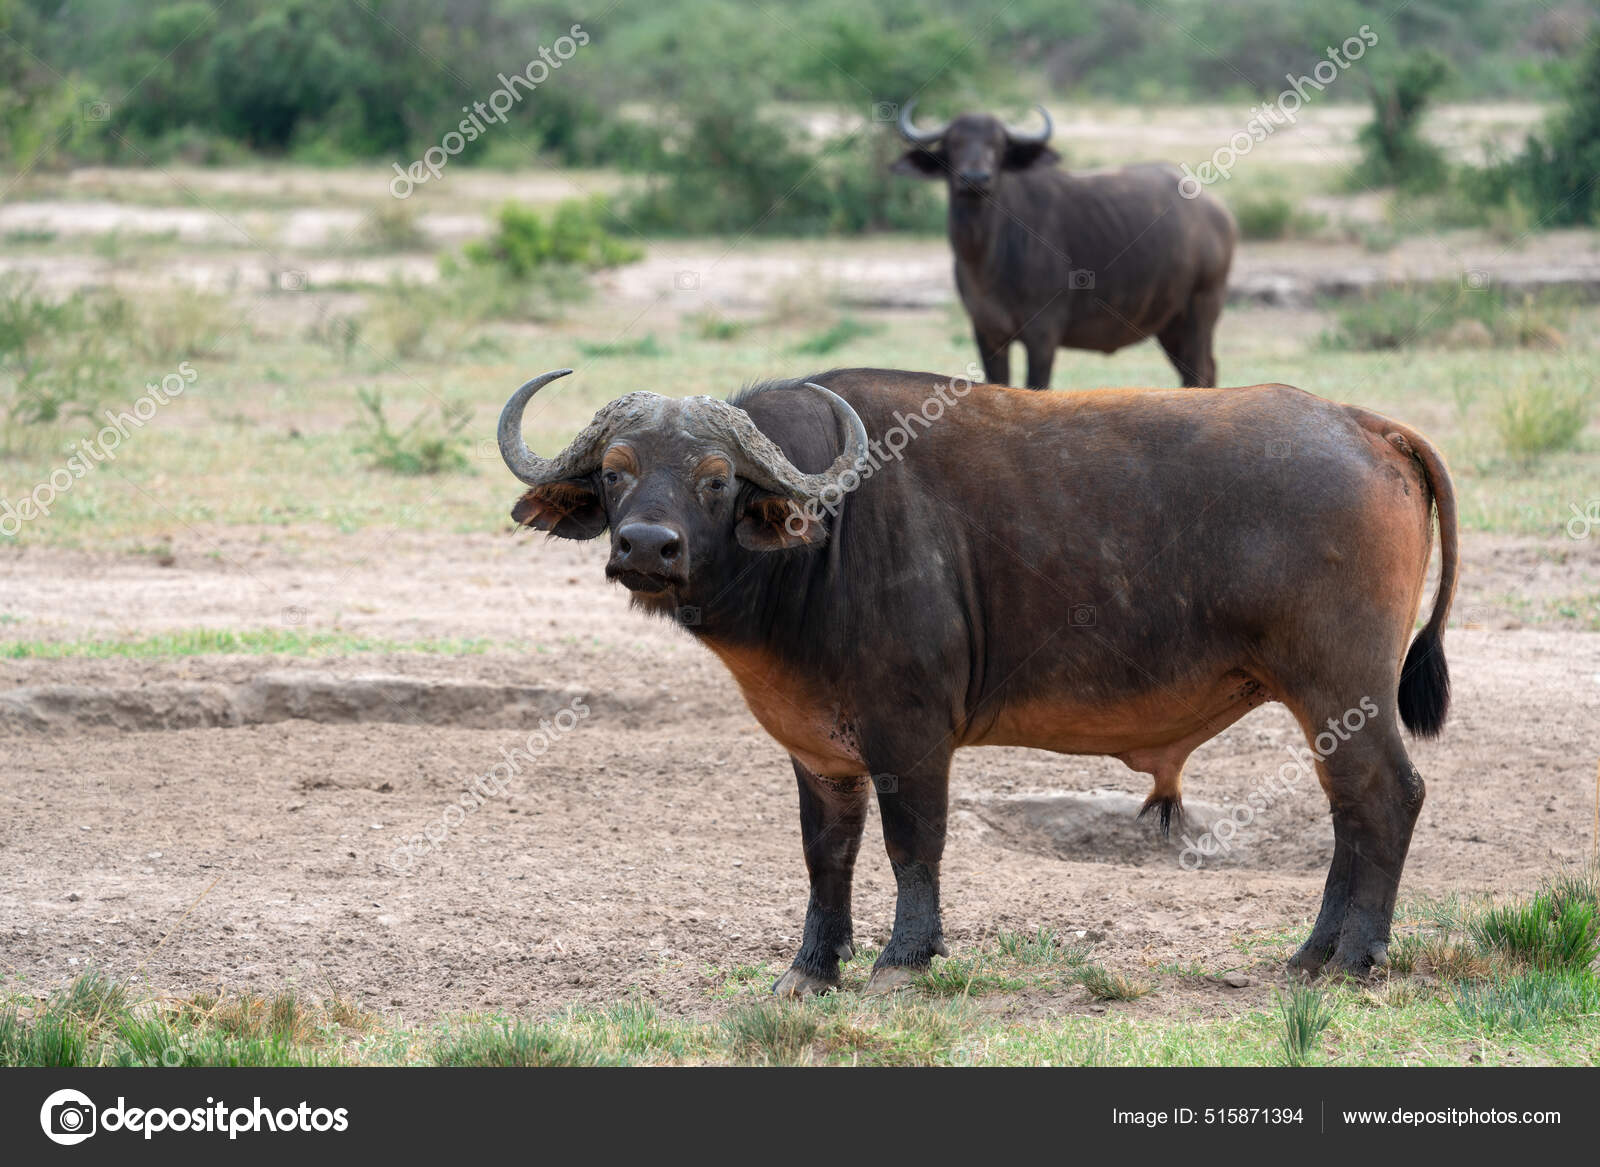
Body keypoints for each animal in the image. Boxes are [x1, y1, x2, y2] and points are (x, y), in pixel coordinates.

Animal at [500, 366, 1456, 992]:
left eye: (716, 478)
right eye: (614, 471)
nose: (646, 547)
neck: (824, 540)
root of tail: (1366, 424)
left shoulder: (913, 735)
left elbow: (912, 844)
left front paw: (903, 958)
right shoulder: (819, 751)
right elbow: (826, 856)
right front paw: (811, 969)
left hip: (1341, 688)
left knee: (1387, 797)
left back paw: (1358, 958)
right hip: (1324, 704)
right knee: (1349, 813)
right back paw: (1313, 954)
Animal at [893, 103, 1237, 390]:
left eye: (998, 145)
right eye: (954, 143)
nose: (976, 177)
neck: (988, 257)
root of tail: (1218, 213)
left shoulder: (1043, 335)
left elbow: (1037, 386)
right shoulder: (986, 333)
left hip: (1201, 307)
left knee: (1198, 372)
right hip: (1169, 324)